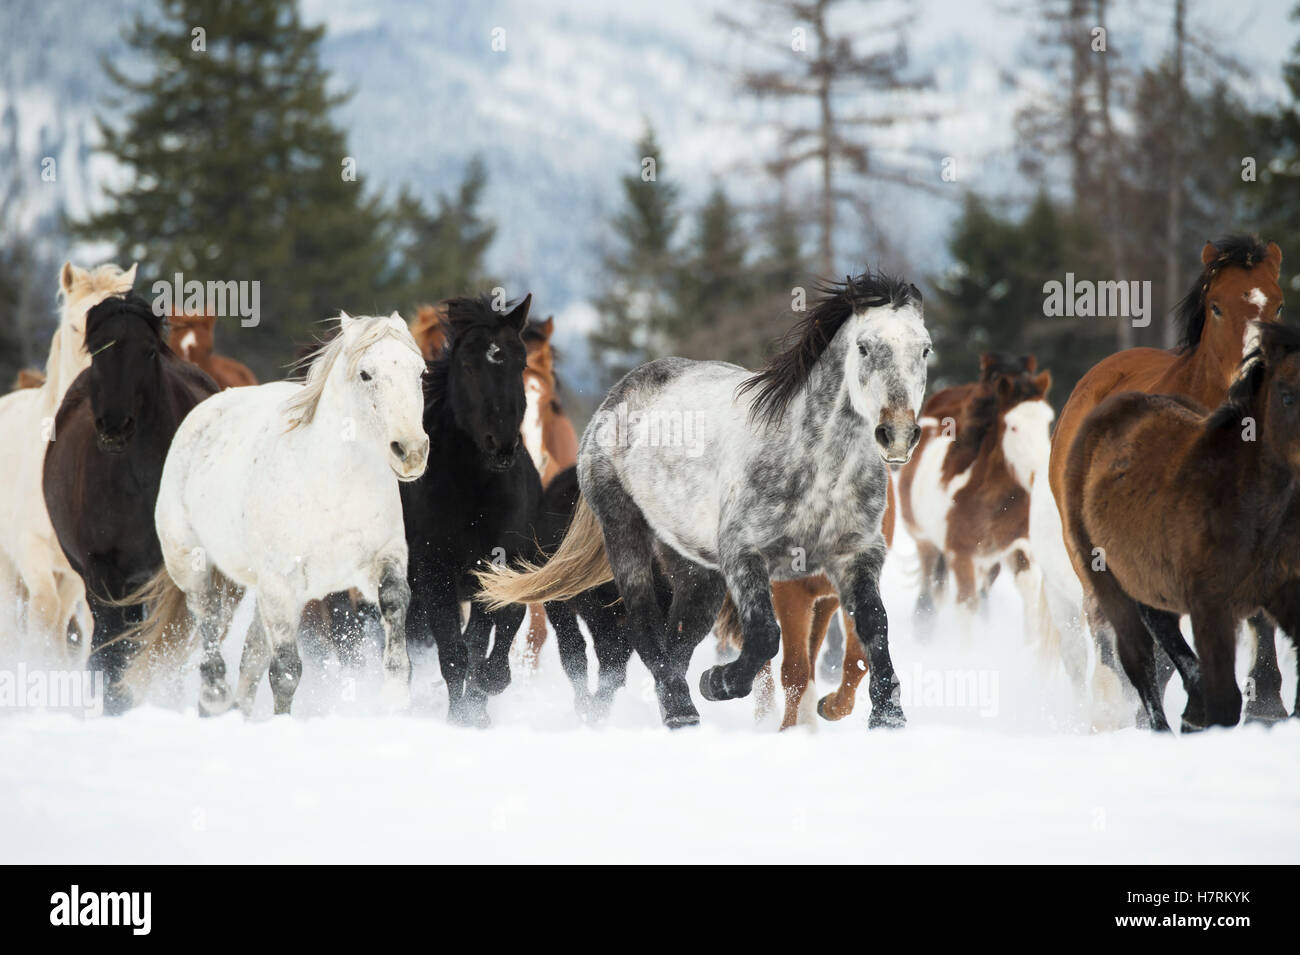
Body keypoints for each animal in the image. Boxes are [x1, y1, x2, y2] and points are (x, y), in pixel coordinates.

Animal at [120, 313, 428, 715]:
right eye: (365, 374)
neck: (334, 485)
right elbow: (285, 671)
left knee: (250, 656)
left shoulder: (381, 558)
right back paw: (214, 697)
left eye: (420, 372)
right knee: (209, 623)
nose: (411, 451)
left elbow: (393, 601)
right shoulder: (281, 582)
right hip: (194, 565)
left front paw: (395, 694)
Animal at [479, 270, 930, 729]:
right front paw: (719, 682)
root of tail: (619, 394)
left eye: (925, 348)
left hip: (697, 569)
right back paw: (680, 712)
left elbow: (874, 626)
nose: (896, 435)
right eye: (863, 347)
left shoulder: (856, 555)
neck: (818, 468)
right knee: (645, 629)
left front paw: (888, 717)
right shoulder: (745, 555)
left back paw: (677, 708)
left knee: (677, 638)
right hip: (625, 533)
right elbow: (765, 637)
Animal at [899, 353, 1054, 640]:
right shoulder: (961, 555)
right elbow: (965, 605)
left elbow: (1027, 590)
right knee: (929, 593)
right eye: (1013, 427)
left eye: (1048, 421)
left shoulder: (1019, 547)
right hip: (926, 543)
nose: (1041, 475)